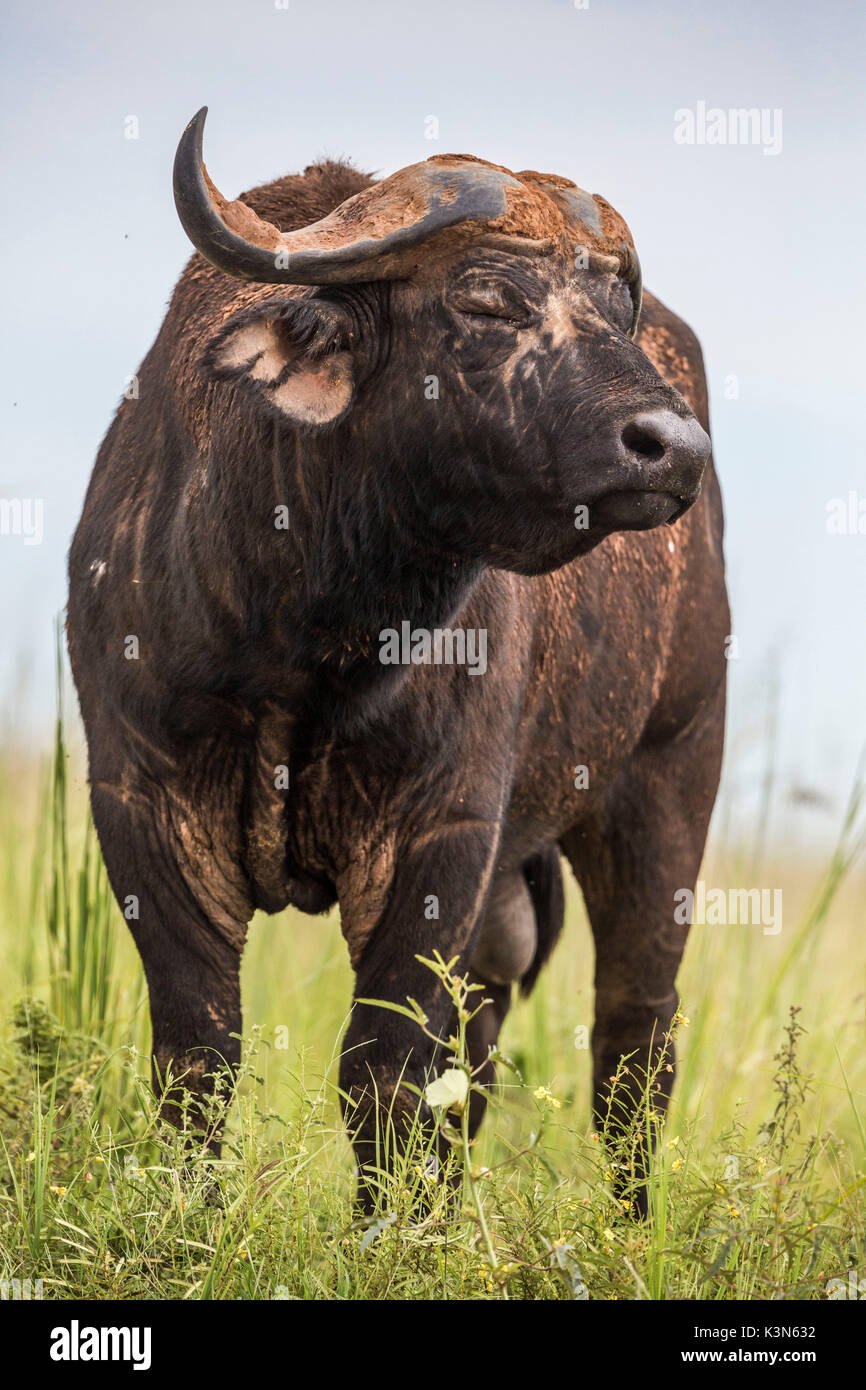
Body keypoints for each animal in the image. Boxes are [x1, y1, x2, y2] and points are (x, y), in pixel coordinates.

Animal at [68, 108, 729, 1212]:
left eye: (616, 311)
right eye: (484, 299)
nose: (672, 445)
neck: (301, 638)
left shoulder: (439, 829)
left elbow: (385, 1073)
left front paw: (390, 1231)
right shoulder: (141, 800)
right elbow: (197, 1058)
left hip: (667, 779)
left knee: (633, 1043)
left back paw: (633, 1226)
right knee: (486, 1048)